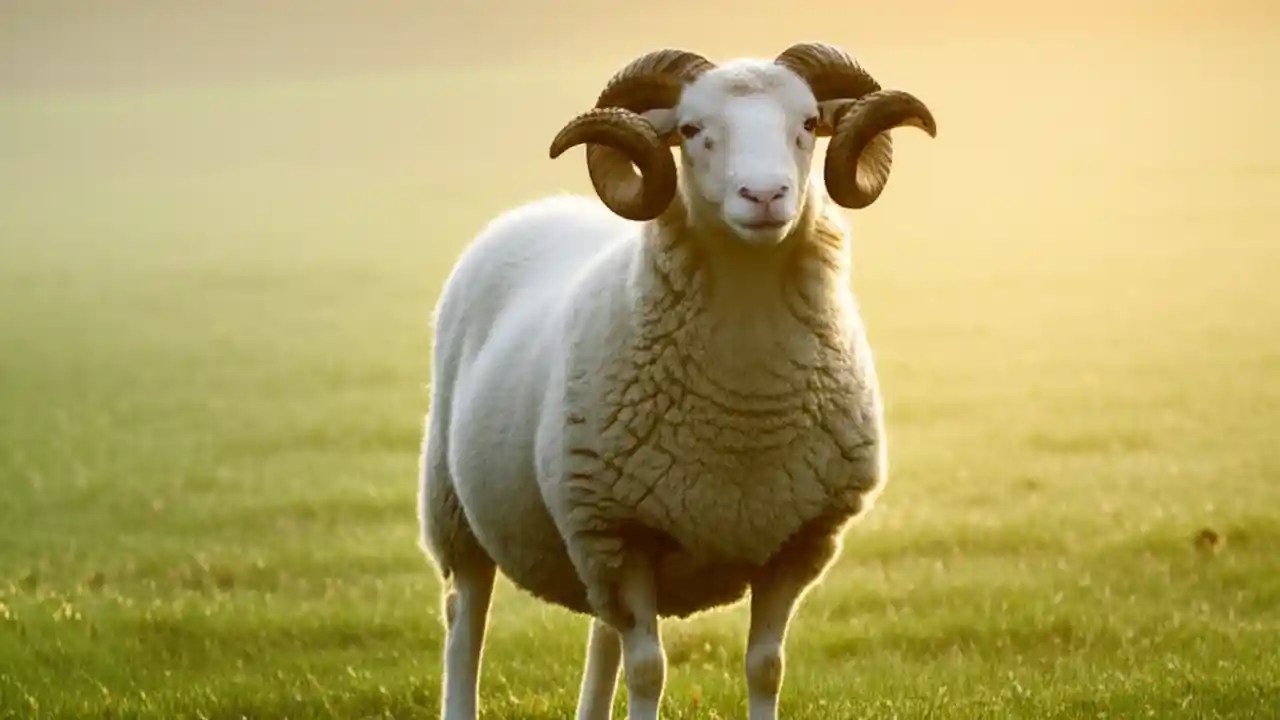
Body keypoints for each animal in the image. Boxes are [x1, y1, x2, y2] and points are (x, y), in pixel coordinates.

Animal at [418, 42, 935, 720]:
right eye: (690, 130)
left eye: (807, 124)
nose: (765, 195)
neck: (744, 410)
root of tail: (542, 207)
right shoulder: (620, 533)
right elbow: (649, 671)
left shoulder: (796, 542)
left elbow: (766, 666)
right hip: (457, 509)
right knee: (465, 621)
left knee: (600, 633)